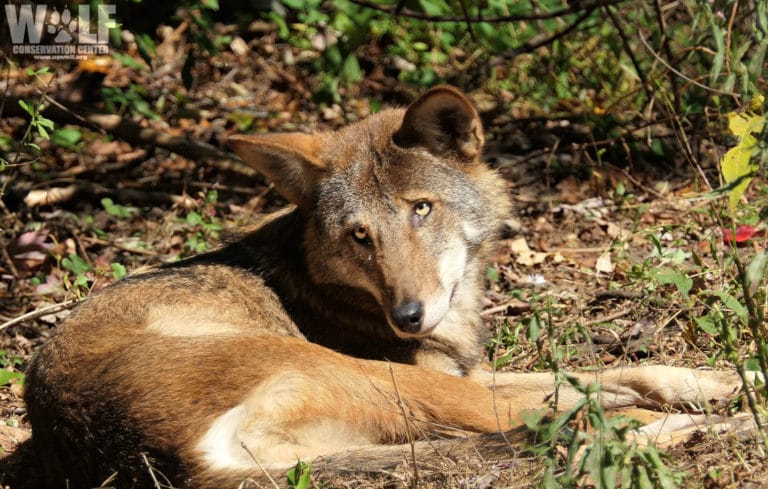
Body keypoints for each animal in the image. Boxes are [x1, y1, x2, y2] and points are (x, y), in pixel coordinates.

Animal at [24, 86, 746, 488]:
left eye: (420, 210)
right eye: (358, 235)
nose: (409, 317)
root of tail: (163, 458)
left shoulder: (469, 370)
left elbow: (621, 368)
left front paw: (712, 379)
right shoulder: (446, 377)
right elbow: (584, 388)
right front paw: (718, 397)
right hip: (383, 381)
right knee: (575, 423)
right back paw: (712, 426)